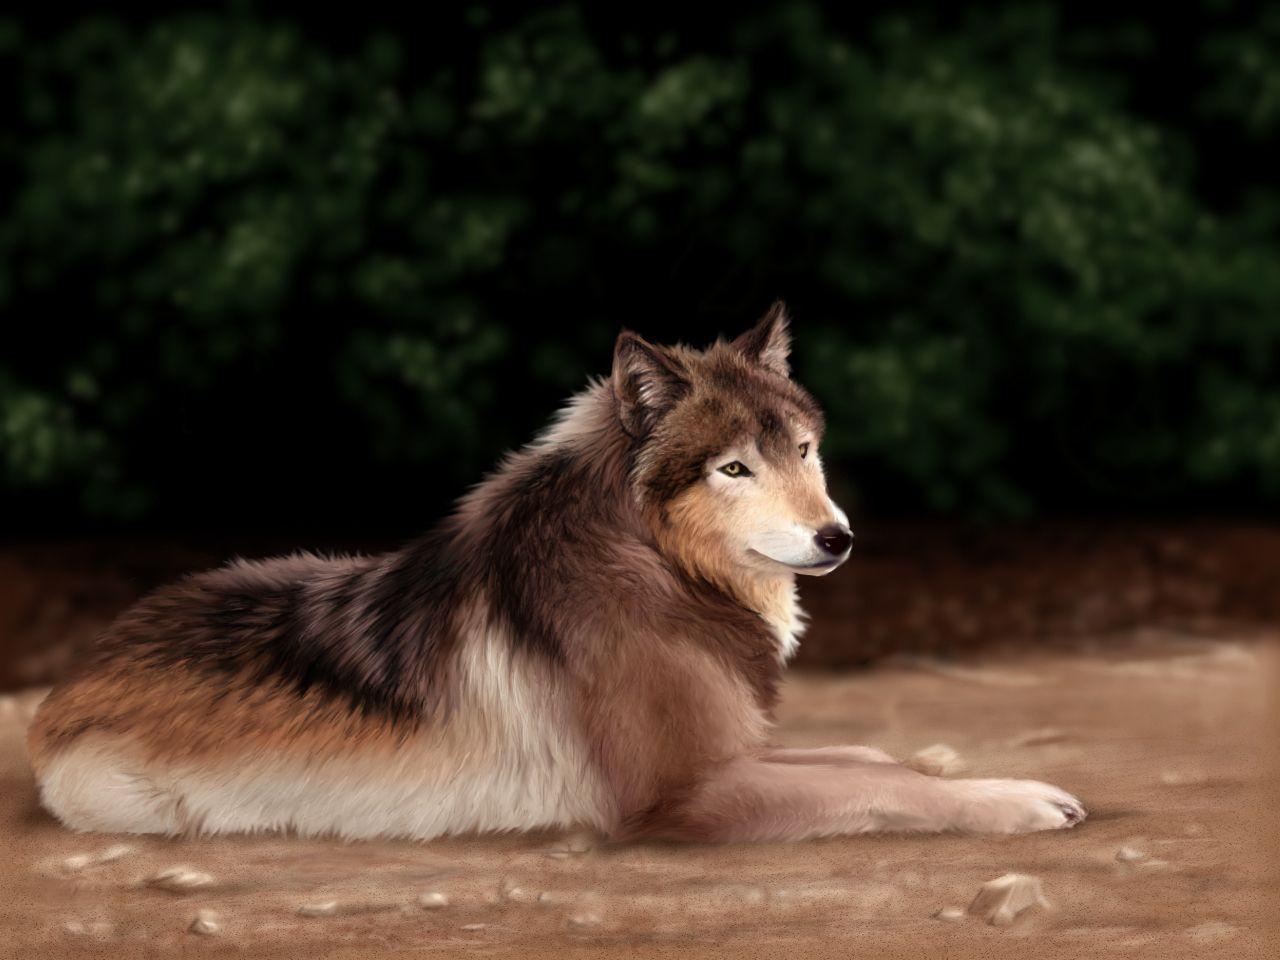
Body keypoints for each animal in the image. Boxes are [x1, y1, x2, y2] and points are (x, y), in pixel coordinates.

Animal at [28, 305, 1085, 842]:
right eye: (732, 469)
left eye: (803, 449)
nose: (837, 539)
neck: (648, 567)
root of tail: (70, 679)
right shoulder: (676, 798)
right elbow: (880, 788)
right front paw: (1008, 799)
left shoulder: (725, 750)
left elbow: (865, 757)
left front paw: (945, 756)